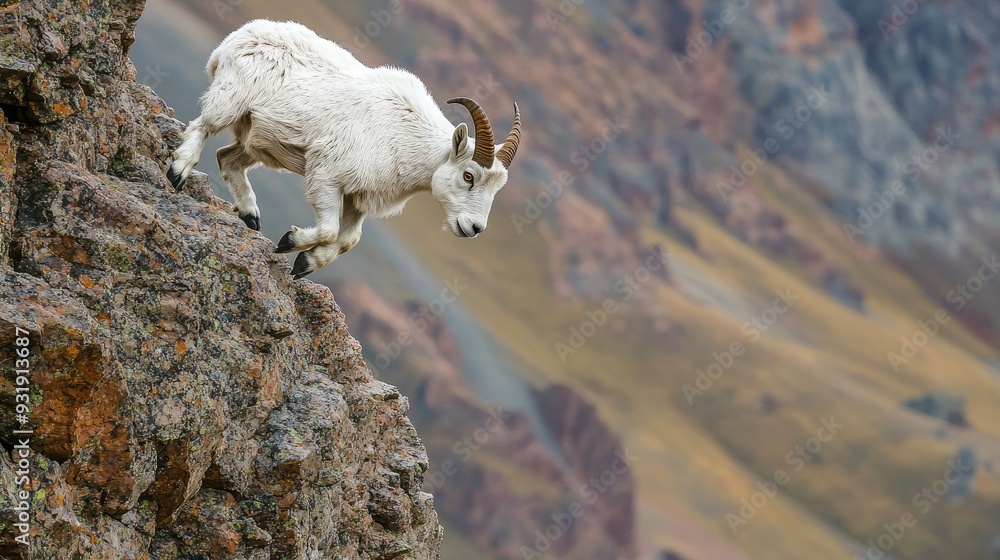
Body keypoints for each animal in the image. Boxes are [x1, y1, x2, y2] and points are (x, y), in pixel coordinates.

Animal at [167, 19, 522, 278]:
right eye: (468, 176)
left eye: (497, 189)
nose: (474, 228)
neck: (405, 137)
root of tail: (239, 36)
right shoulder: (327, 177)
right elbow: (328, 229)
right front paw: (290, 242)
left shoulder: (357, 200)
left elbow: (349, 239)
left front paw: (305, 264)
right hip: (230, 102)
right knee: (201, 128)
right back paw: (177, 174)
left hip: (260, 141)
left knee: (227, 158)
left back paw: (251, 216)